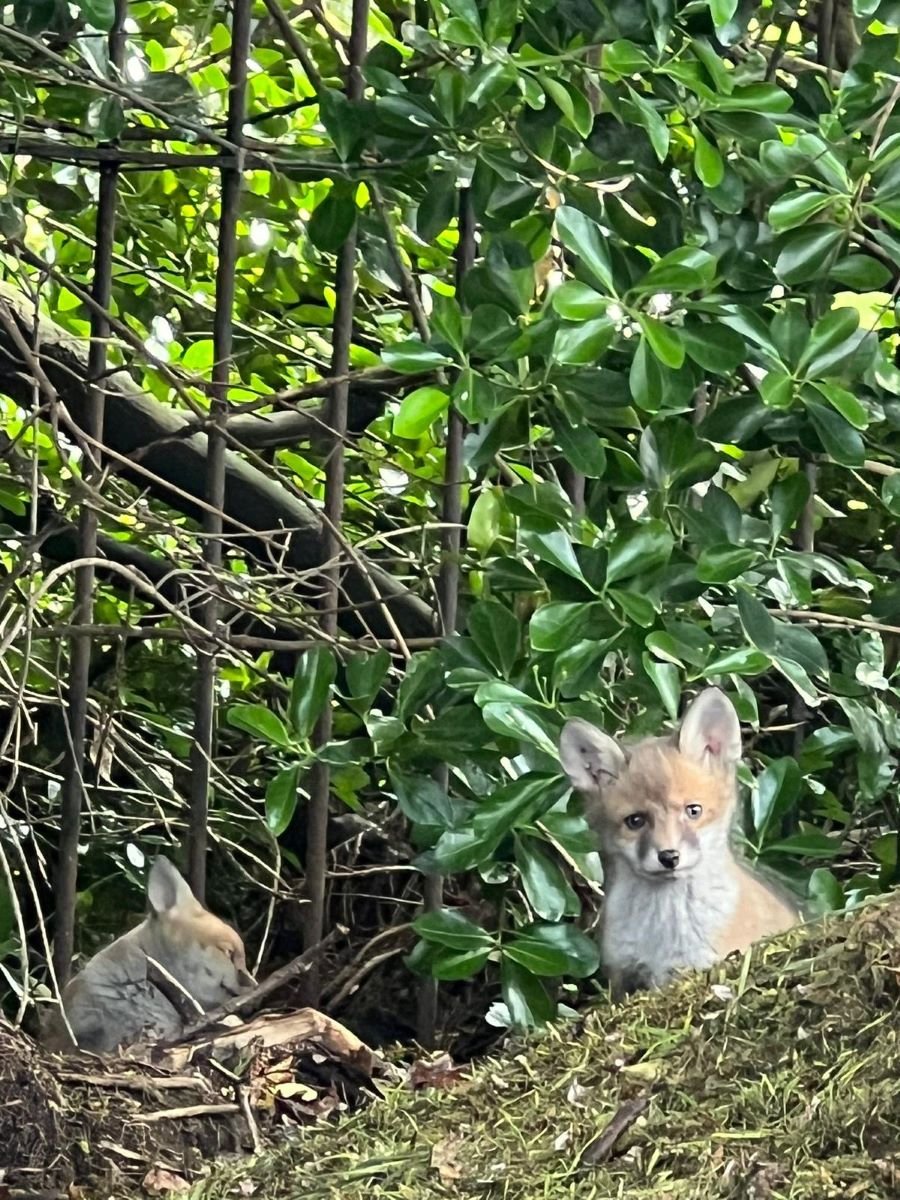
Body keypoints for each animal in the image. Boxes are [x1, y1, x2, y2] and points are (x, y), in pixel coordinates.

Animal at [559, 687, 800, 998]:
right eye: (635, 821)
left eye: (693, 810)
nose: (669, 857)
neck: (663, 934)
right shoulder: (624, 978)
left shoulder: (700, 964)